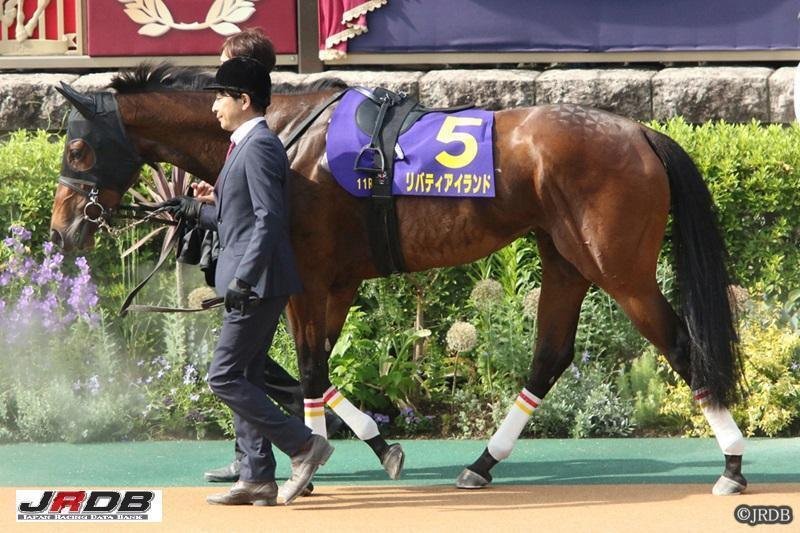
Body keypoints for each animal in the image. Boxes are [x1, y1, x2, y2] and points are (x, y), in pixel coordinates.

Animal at [49, 64, 747, 495]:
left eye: (78, 148)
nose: (62, 229)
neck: (284, 137)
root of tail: (642, 132)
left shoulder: (308, 278)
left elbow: (310, 369)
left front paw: (317, 462)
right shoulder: (331, 283)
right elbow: (312, 369)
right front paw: (353, 447)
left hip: (618, 268)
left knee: (682, 345)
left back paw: (733, 465)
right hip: (565, 259)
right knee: (550, 355)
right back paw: (481, 464)